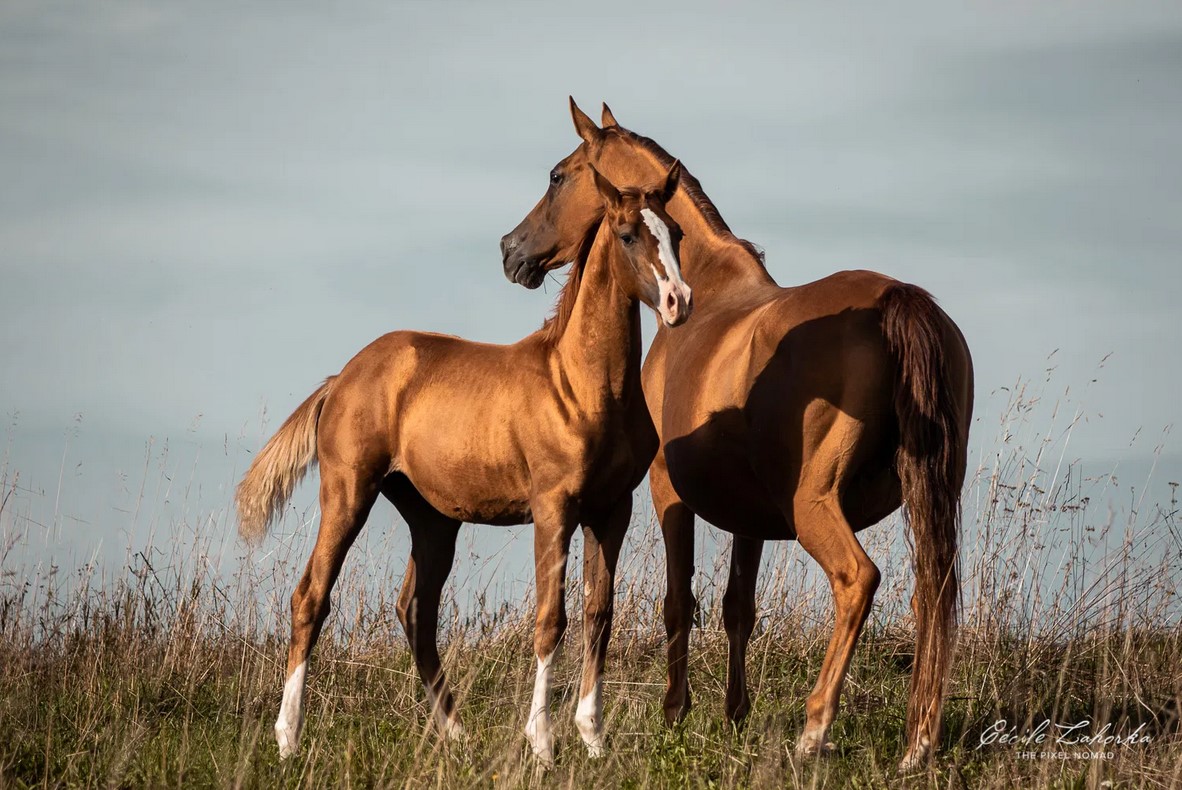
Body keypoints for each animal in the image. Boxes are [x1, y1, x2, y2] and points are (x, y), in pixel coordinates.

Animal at [236, 161, 692, 764]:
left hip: (432, 518)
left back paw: (455, 733)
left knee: (415, 610)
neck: (584, 385)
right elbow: (551, 618)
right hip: (348, 490)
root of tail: (343, 377)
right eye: (627, 235)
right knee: (311, 595)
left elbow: (599, 616)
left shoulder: (612, 509)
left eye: (676, 234)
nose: (679, 301)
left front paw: (593, 738)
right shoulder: (554, 509)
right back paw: (289, 736)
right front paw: (542, 743)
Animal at [500, 99, 973, 772]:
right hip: (932, 498)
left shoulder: (668, 492)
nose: (511, 250)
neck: (713, 285)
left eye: (557, 176)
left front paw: (675, 713)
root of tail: (896, 300)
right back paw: (918, 743)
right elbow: (737, 610)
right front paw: (734, 715)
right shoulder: (753, 517)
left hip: (815, 508)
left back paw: (814, 729)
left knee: (858, 580)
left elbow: (679, 601)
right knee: (935, 593)